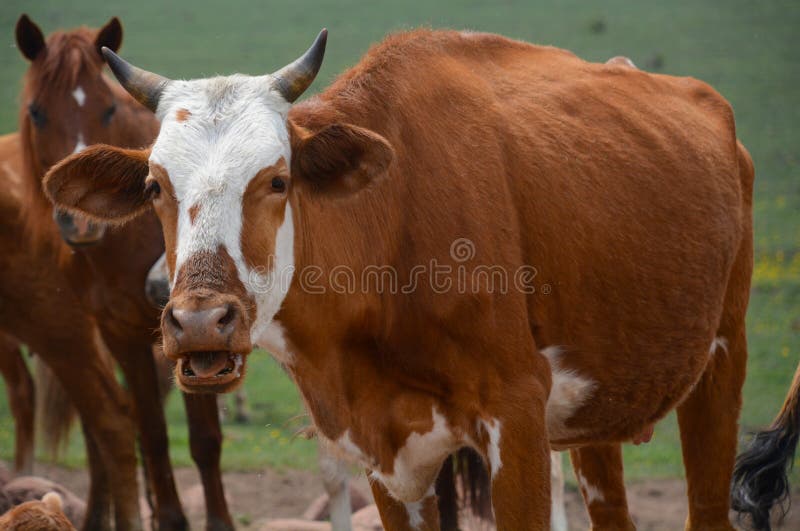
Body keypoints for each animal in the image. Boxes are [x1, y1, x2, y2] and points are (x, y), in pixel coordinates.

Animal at [45, 28, 754, 529]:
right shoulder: (388, 460)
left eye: (277, 180)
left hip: (721, 364)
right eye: (154, 186)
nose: (197, 321)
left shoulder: (518, 424)